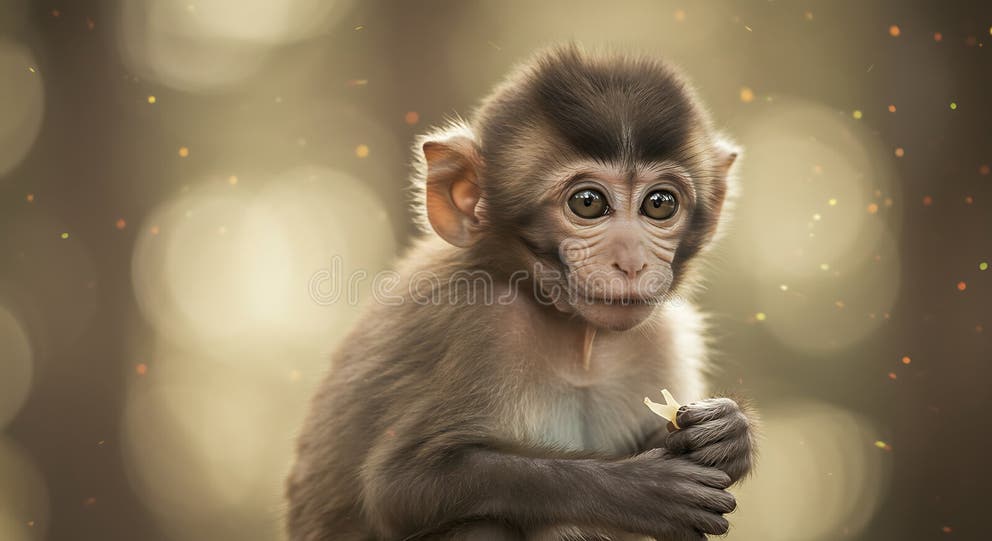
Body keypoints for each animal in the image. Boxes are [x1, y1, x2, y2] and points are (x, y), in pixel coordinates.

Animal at [286, 45, 756, 541]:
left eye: (660, 204)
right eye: (588, 202)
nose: (631, 263)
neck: (578, 341)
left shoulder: (663, 338)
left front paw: (728, 434)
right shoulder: (482, 322)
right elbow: (398, 486)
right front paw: (643, 488)